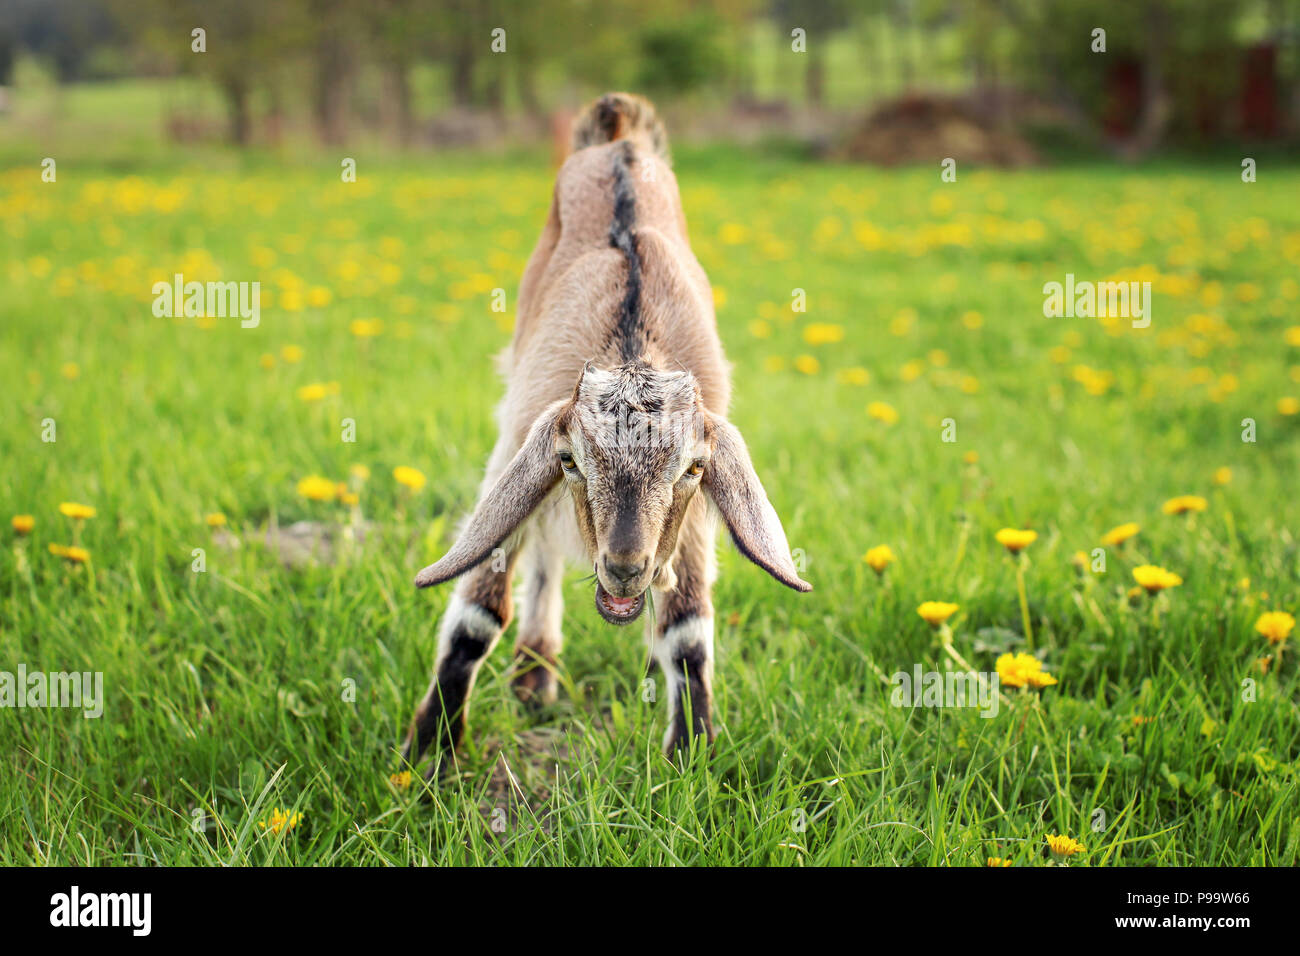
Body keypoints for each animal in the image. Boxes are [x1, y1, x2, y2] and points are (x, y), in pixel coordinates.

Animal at [403, 92, 811, 776]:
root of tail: (618, 137)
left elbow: (687, 628)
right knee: (541, 548)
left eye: (691, 469)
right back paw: (535, 671)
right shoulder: (519, 442)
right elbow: (477, 615)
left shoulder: (692, 517)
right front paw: (430, 750)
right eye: (572, 462)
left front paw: (691, 753)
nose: (624, 569)